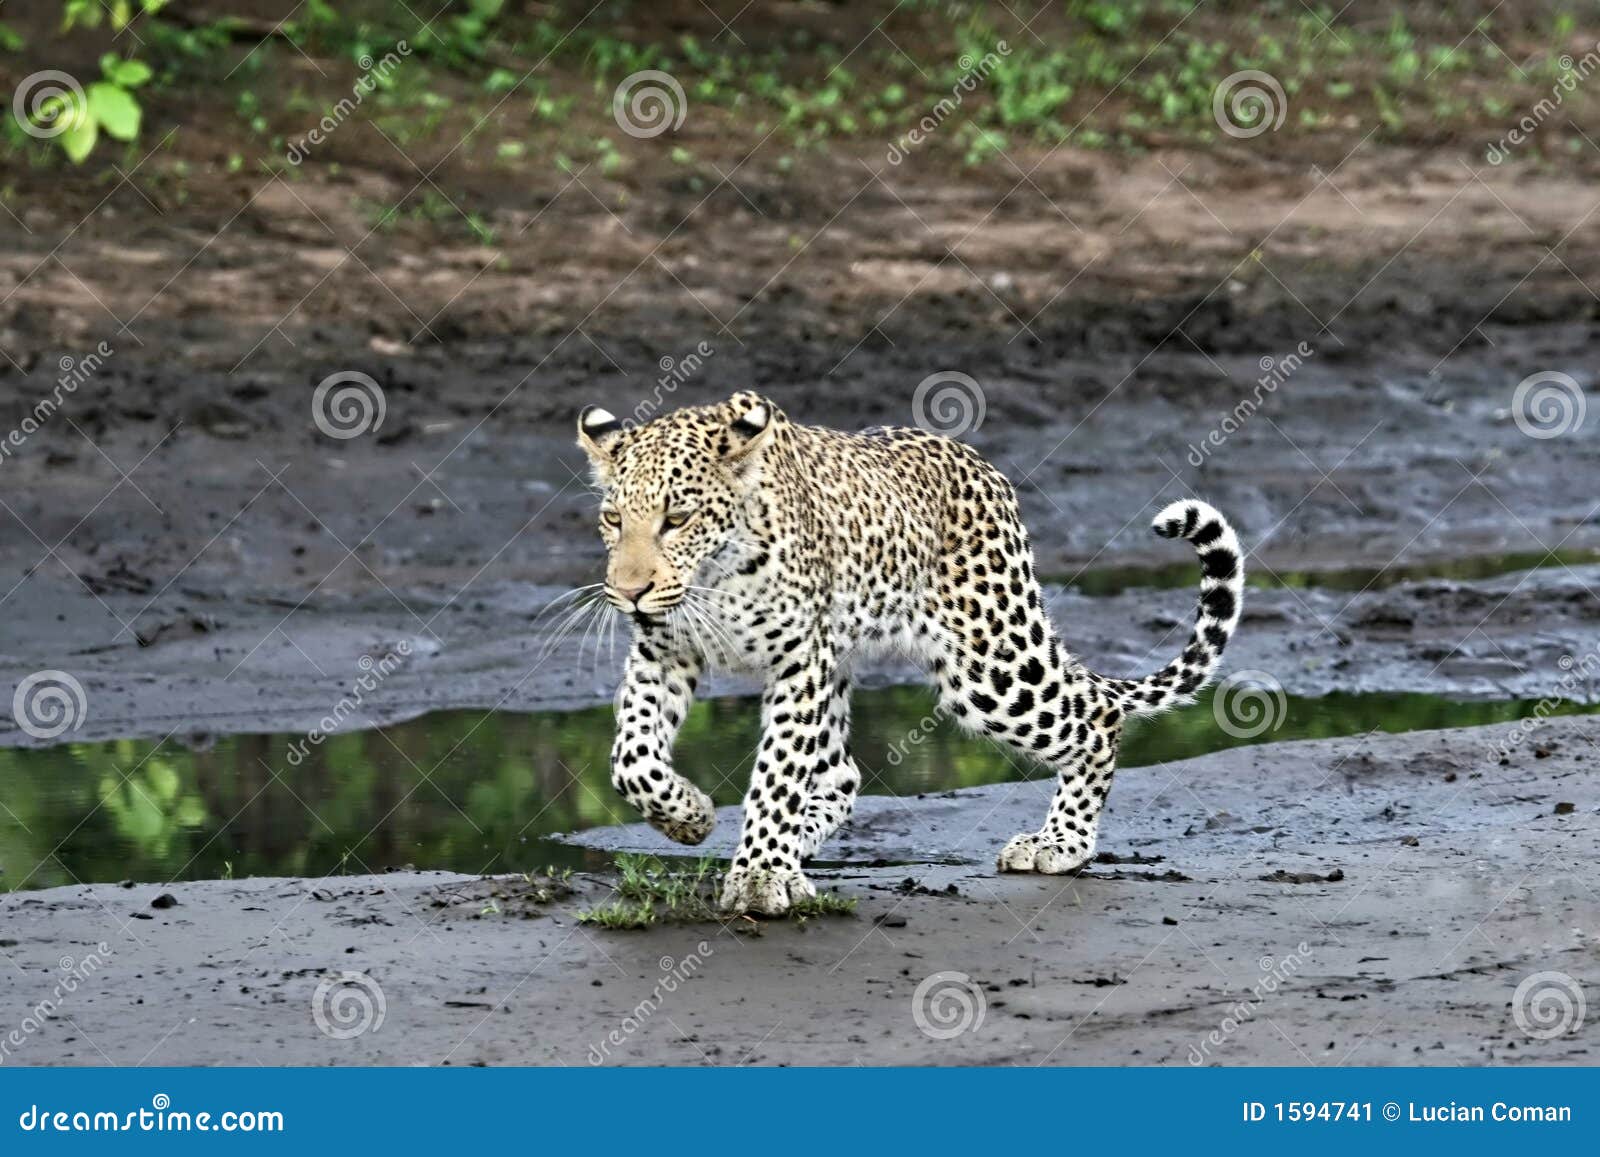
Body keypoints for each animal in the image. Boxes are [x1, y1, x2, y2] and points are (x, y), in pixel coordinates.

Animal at [577, 390, 1244, 916]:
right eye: (612, 518)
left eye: (678, 517)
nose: (629, 591)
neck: (711, 578)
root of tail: (983, 467)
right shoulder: (662, 653)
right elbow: (631, 758)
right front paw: (688, 816)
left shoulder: (799, 663)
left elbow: (778, 774)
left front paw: (760, 874)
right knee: (842, 772)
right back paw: (795, 853)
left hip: (989, 663)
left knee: (1096, 717)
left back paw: (1061, 843)